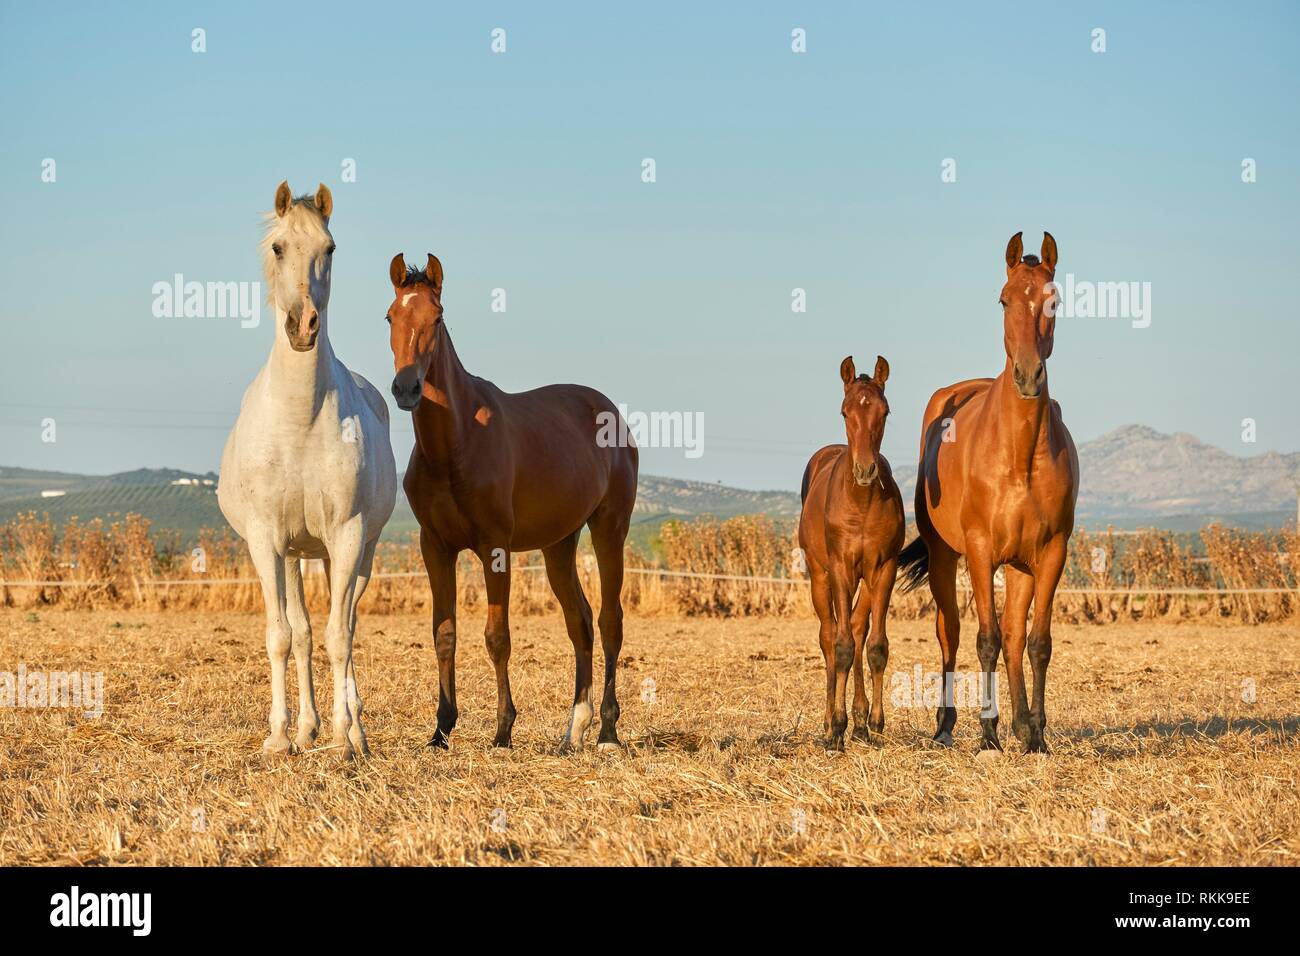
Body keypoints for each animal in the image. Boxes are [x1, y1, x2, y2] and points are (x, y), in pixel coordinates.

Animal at [218, 181, 397, 760]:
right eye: (278, 247)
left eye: (330, 248)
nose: (302, 325)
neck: (299, 418)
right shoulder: (265, 540)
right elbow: (283, 636)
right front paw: (279, 736)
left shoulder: (347, 535)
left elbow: (341, 636)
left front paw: (344, 739)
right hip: (295, 555)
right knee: (301, 633)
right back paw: (305, 727)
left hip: (356, 554)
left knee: (347, 624)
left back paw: (352, 728)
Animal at [383, 252, 638, 751]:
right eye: (390, 316)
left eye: (436, 317)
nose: (406, 389)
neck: (455, 443)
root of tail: (611, 414)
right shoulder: (434, 546)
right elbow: (445, 633)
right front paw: (441, 729)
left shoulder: (494, 547)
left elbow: (497, 636)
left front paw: (503, 730)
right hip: (559, 545)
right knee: (579, 622)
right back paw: (573, 730)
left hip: (609, 529)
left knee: (609, 621)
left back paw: (607, 730)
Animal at [798, 355, 905, 750]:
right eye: (844, 411)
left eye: (884, 411)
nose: (865, 470)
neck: (860, 502)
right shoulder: (841, 568)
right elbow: (841, 646)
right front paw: (837, 728)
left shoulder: (883, 568)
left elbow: (875, 646)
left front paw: (873, 722)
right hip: (820, 576)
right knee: (830, 636)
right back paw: (832, 722)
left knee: (858, 629)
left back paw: (859, 722)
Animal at [898, 231, 1079, 753]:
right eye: (1003, 299)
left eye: (1054, 300)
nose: (1028, 375)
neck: (1018, 456)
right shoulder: (979, 552)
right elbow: (986, 640)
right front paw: (988, 733)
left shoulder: (1052, 553)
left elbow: (1037, 642)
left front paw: (1034, 733)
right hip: (945, 558)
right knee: (951, 633)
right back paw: (947, 725)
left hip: (1019, 566)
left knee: (1016, 637)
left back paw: (1020, 724)